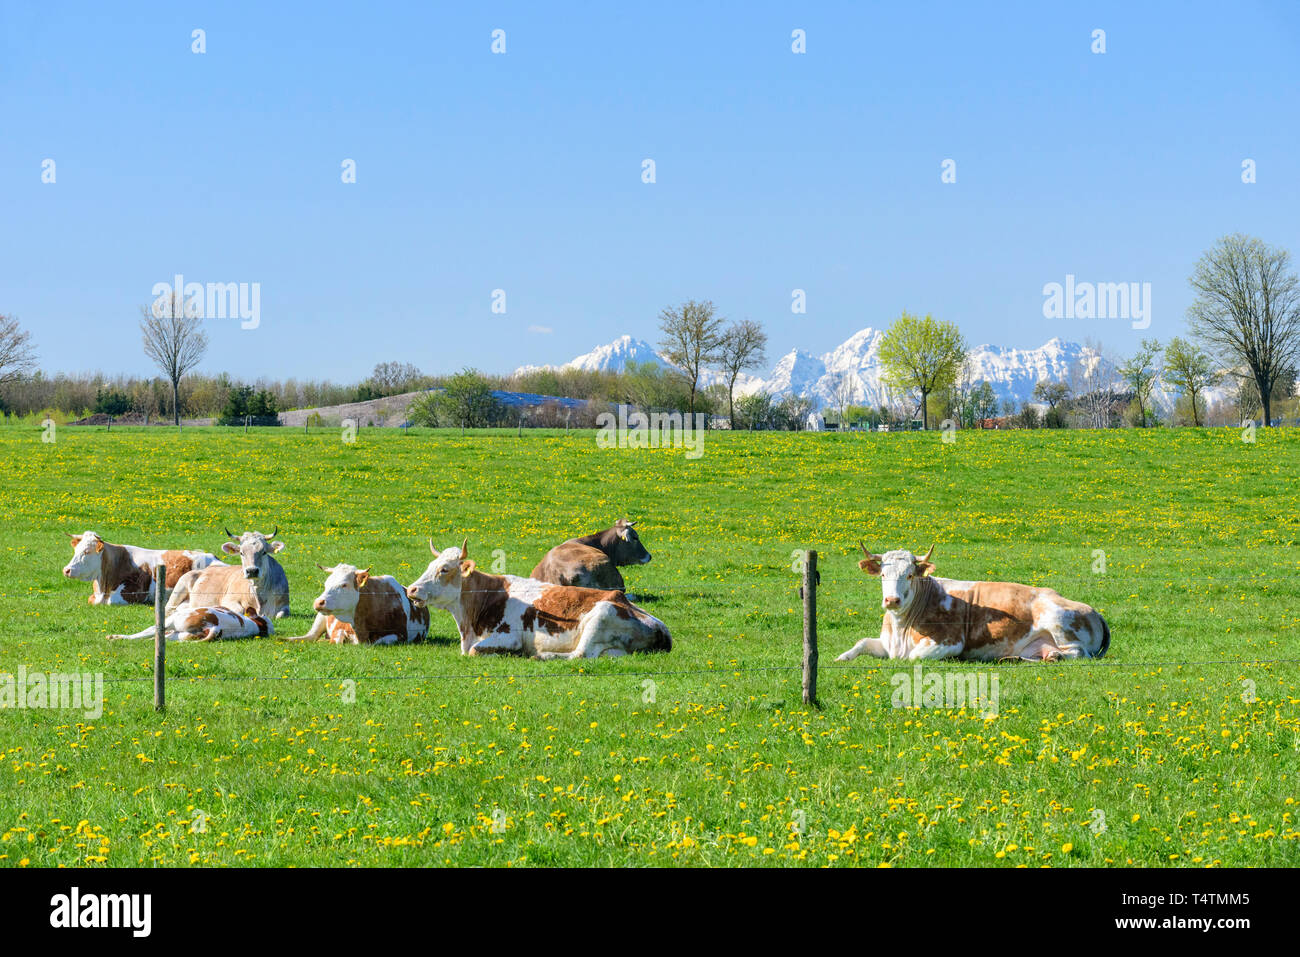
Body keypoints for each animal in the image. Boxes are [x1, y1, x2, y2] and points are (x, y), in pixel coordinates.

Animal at [63, 531, 218, 605]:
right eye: (76, 551)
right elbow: (92, 599)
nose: (66, 570)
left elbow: (111, 601)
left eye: (87, 551)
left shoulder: (135, 592)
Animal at [284, 564, 429, 645]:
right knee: (310, 636)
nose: (319, 602)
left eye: (344, 584)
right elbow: (336, 640)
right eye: (326, 584)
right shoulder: (338, 629)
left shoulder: (399, 635)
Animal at [410, 539, 671, 659]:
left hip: (602, 613)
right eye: (430, 565)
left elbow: (475, 651)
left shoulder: (510, 637)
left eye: (444, 569)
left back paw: (542, 655)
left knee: (579, 654)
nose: (412, 589)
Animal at [836, 544, 1110, 663]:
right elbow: (861, 643)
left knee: (1078, 653)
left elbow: (911, 657)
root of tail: (1093, 611)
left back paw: (1054, 656)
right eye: (883, 574)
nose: (892, 600)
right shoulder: (886, 643)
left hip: (1059, 622)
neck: (901, 628)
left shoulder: (950, 642)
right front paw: (841, 657)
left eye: (910, 575)